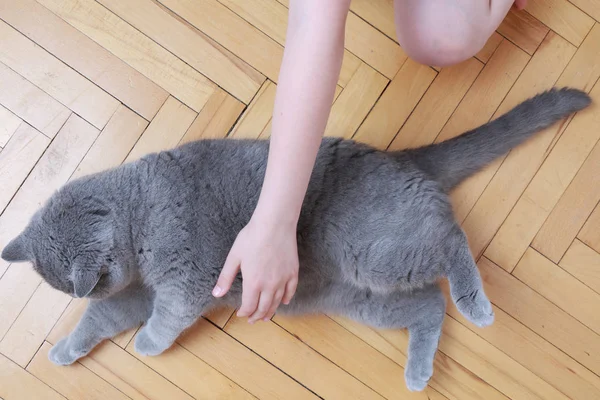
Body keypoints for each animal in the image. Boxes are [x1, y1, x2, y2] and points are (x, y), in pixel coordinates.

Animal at [1, 87, 592, 390]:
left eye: (77, 282)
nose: (82, 290)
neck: (138, 209)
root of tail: (398, 157)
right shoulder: (135, 292)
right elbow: (100, 321)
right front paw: (65, 349)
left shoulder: (185, 273)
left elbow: (169, 314)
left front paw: (146, 343)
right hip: (362, 297)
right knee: (428, 305)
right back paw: (419, 371)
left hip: (381, 253)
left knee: (451, 238)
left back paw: (477, 306)